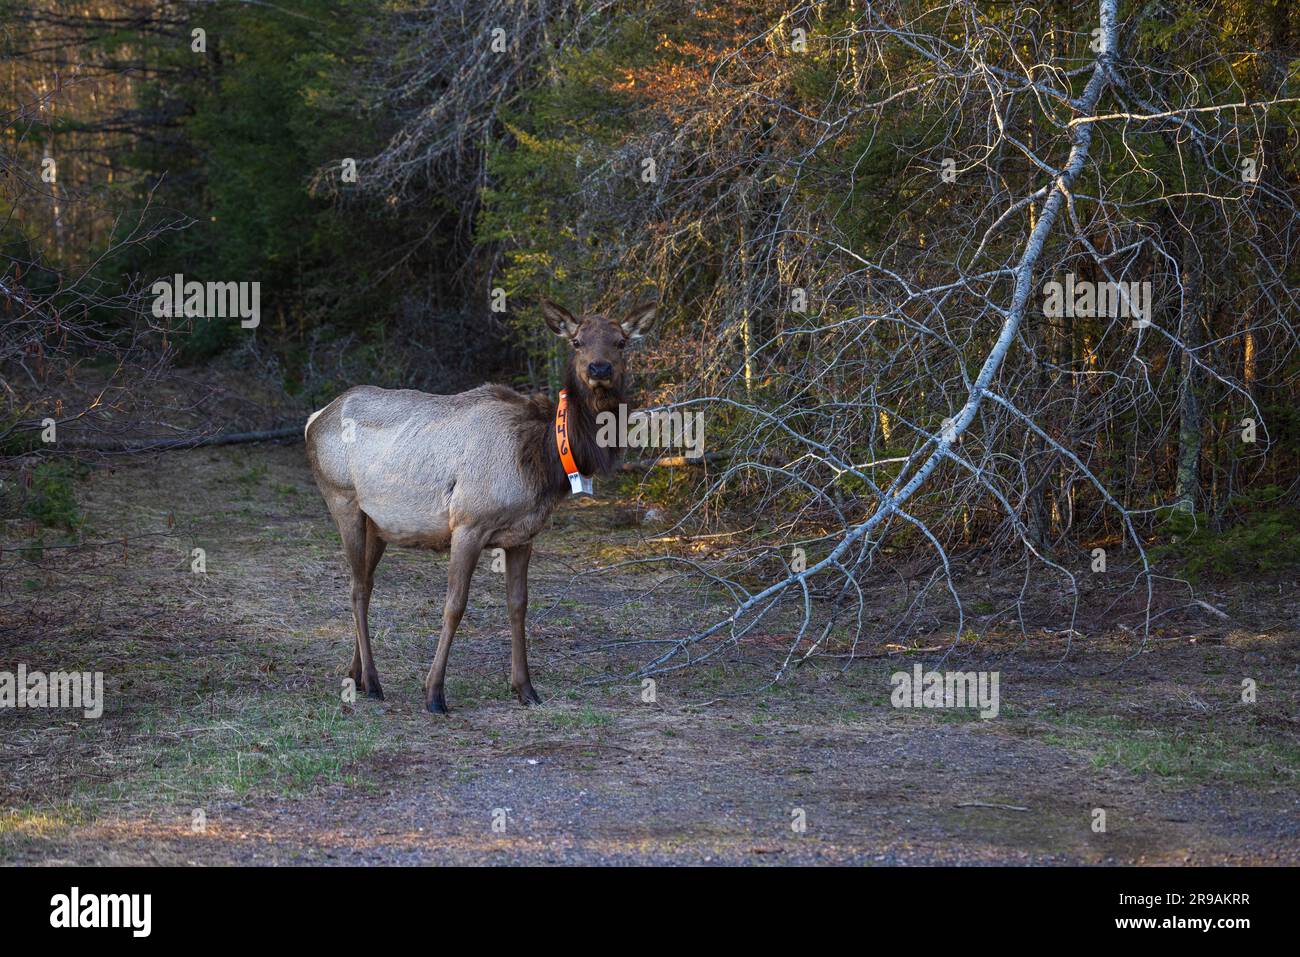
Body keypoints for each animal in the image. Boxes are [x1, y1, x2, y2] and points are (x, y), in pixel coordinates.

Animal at [304, 298, 656, 714]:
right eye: (577, 341)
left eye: (621, 342)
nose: (599, 369)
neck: (543, 458)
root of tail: (313, 419)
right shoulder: (468, 523)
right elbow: (454, 605)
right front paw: (434, 693)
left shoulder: (524, 536)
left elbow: (518, 605)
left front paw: (525, 688)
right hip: (343, 500)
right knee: (357, 587)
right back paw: (373, 681)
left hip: (378, 524)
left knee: (366, 583)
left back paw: (355, 675)